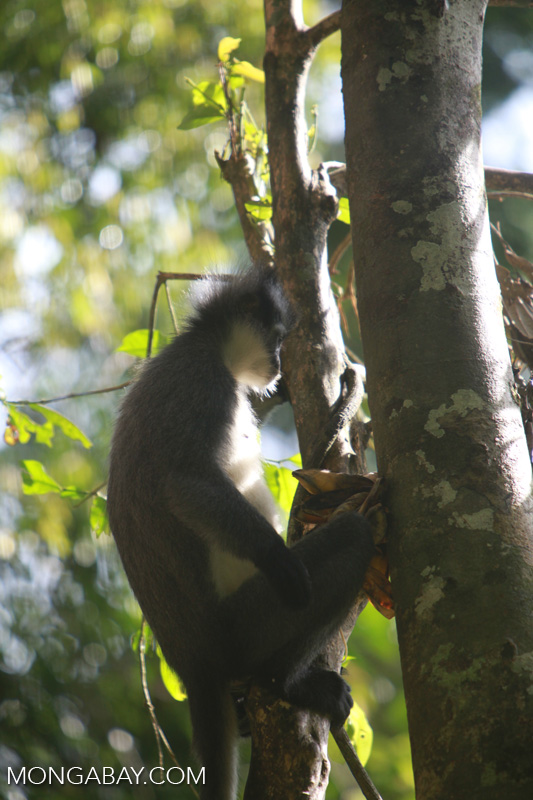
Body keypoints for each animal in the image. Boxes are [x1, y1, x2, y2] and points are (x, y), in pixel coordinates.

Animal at [107, 265, 375, 800]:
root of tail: (196, 663)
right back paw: (284, 684)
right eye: (276, 338)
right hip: (244, 625)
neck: (202, 343)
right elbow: (185, 483)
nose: (278, 363)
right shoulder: (203, 380)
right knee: (355, 538)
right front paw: (279, 558)